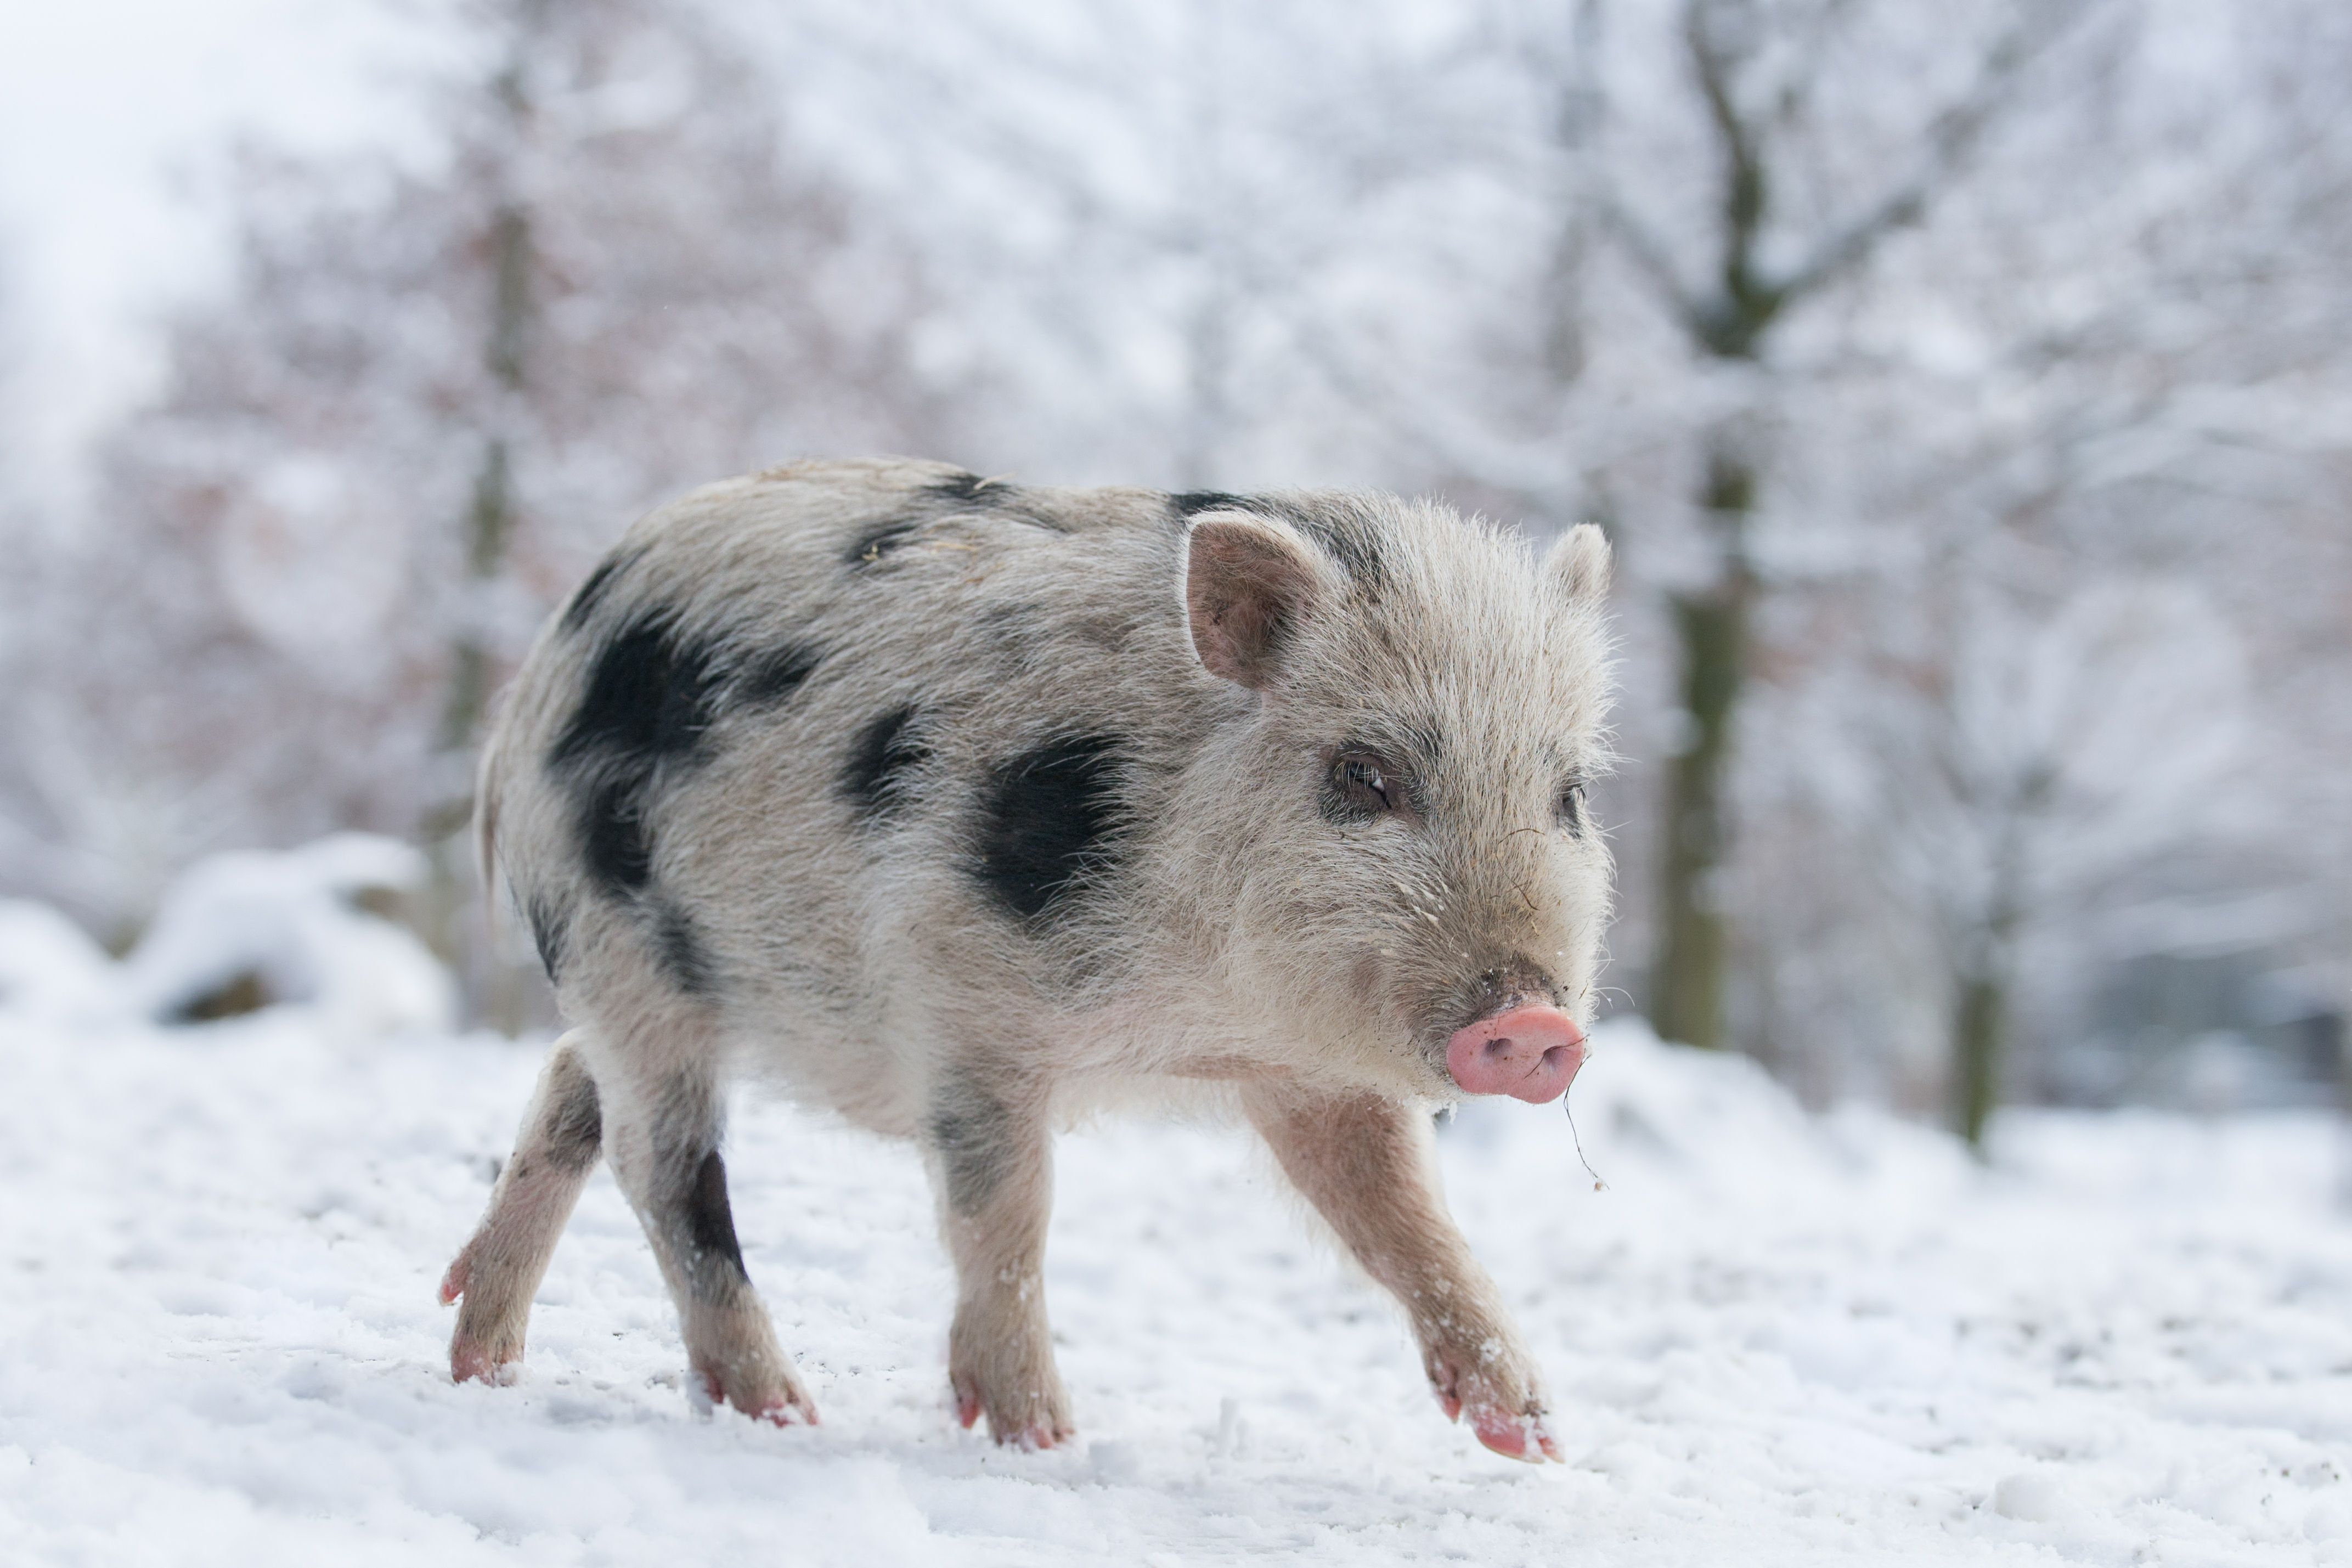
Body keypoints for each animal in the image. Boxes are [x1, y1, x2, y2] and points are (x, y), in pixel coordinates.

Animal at [439, 456, 1615, 1461]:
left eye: (1565, 796)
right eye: (1363, 775)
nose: (1534, 1023)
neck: (1198, 1011)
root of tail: (547, 654)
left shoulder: (1315, 1076)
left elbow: (1402, 1215)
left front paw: (1531, 1433)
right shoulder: (961, 1002)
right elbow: (1005, 1209)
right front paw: (1041, 1437)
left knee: (572, 1083)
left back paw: (479, 1359)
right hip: (622, 946)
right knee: (665, 1163)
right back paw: (781, 1411)